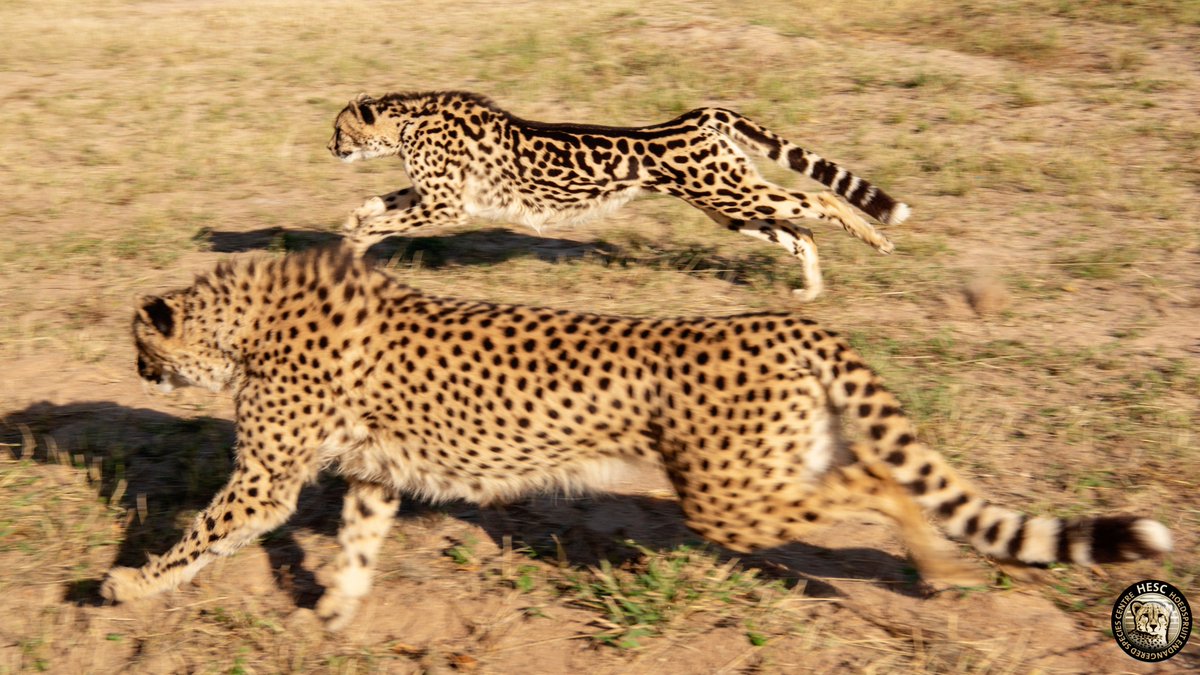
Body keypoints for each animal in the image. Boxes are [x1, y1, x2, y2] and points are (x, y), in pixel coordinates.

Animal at [102, 246, 1171, 631]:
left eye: (142, 346)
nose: (137, 369)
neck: (246, 314)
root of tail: (783, 320)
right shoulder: (372, 472)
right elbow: (360, 541)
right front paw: (334, 610)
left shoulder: (268, 478)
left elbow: (207, 531)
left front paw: (127, 584)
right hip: (780, 464)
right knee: (877, 470)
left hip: (732, 496)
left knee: (887, 486)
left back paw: (937, 566)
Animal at [328, 90, 912, 302]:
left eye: (338, 128)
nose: (329, 146)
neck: (410, 118)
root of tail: (697, 115)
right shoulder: (431, 195)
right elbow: (380, 204)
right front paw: (353, 227)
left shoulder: (446, 204)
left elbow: (383, 221)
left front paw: (354, 246)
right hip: (729, 206)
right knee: (801, 232)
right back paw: (811, 289)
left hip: (732, 193)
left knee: (822, 202)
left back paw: (878, 239)